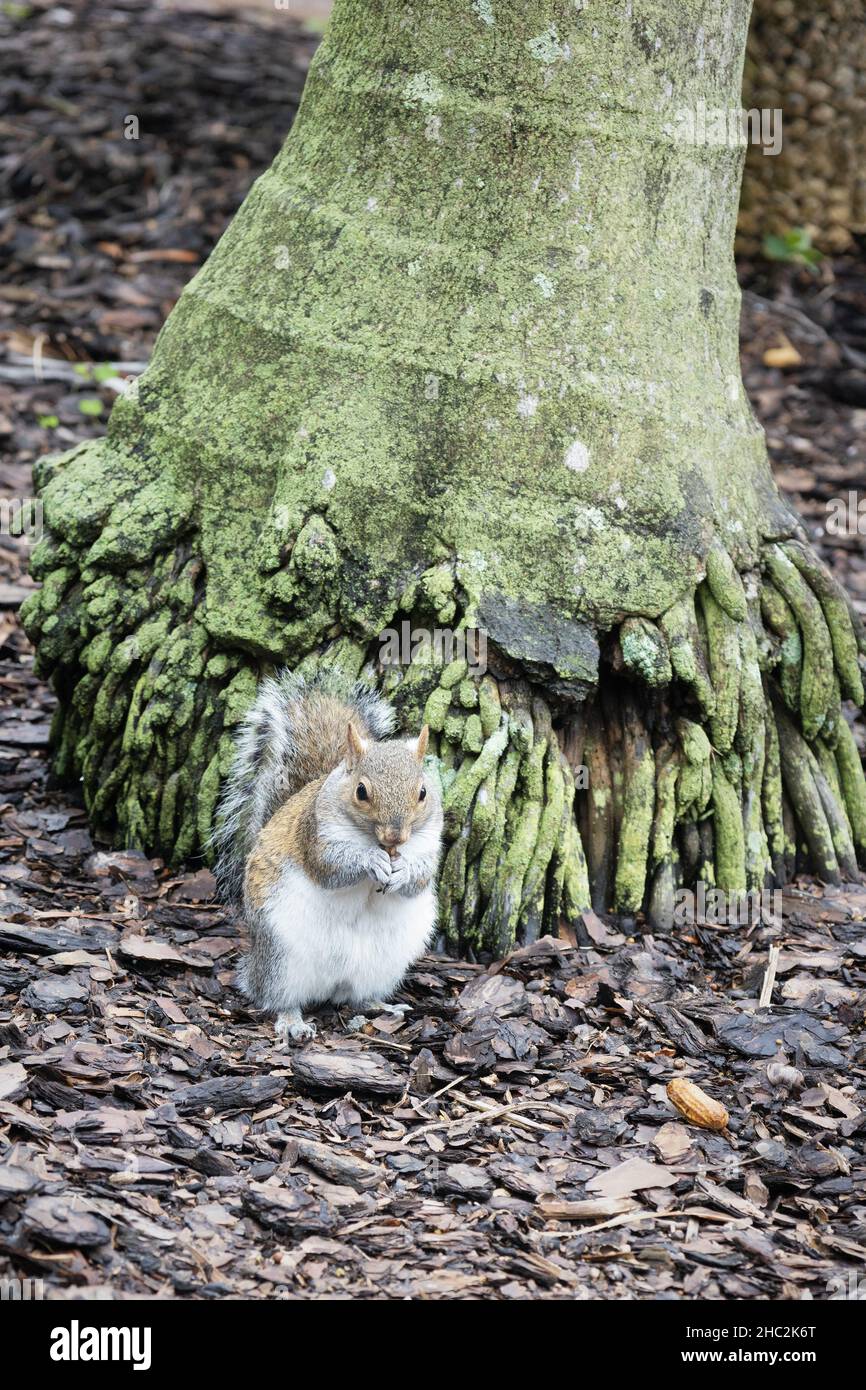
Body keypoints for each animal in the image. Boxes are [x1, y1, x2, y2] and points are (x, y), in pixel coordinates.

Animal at [213, 671, 443, 1042]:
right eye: (361, 791)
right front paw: (371, 861)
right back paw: (292, 1020)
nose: (396, 837)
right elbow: (330, 868)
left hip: (383, 964)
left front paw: (403, 871)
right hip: (283, 959)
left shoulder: (430, 841)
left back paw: (380, 1005)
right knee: (277, 996)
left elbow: (421, 877)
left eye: (422, 792)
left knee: (358, 997)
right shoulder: (315, 836)